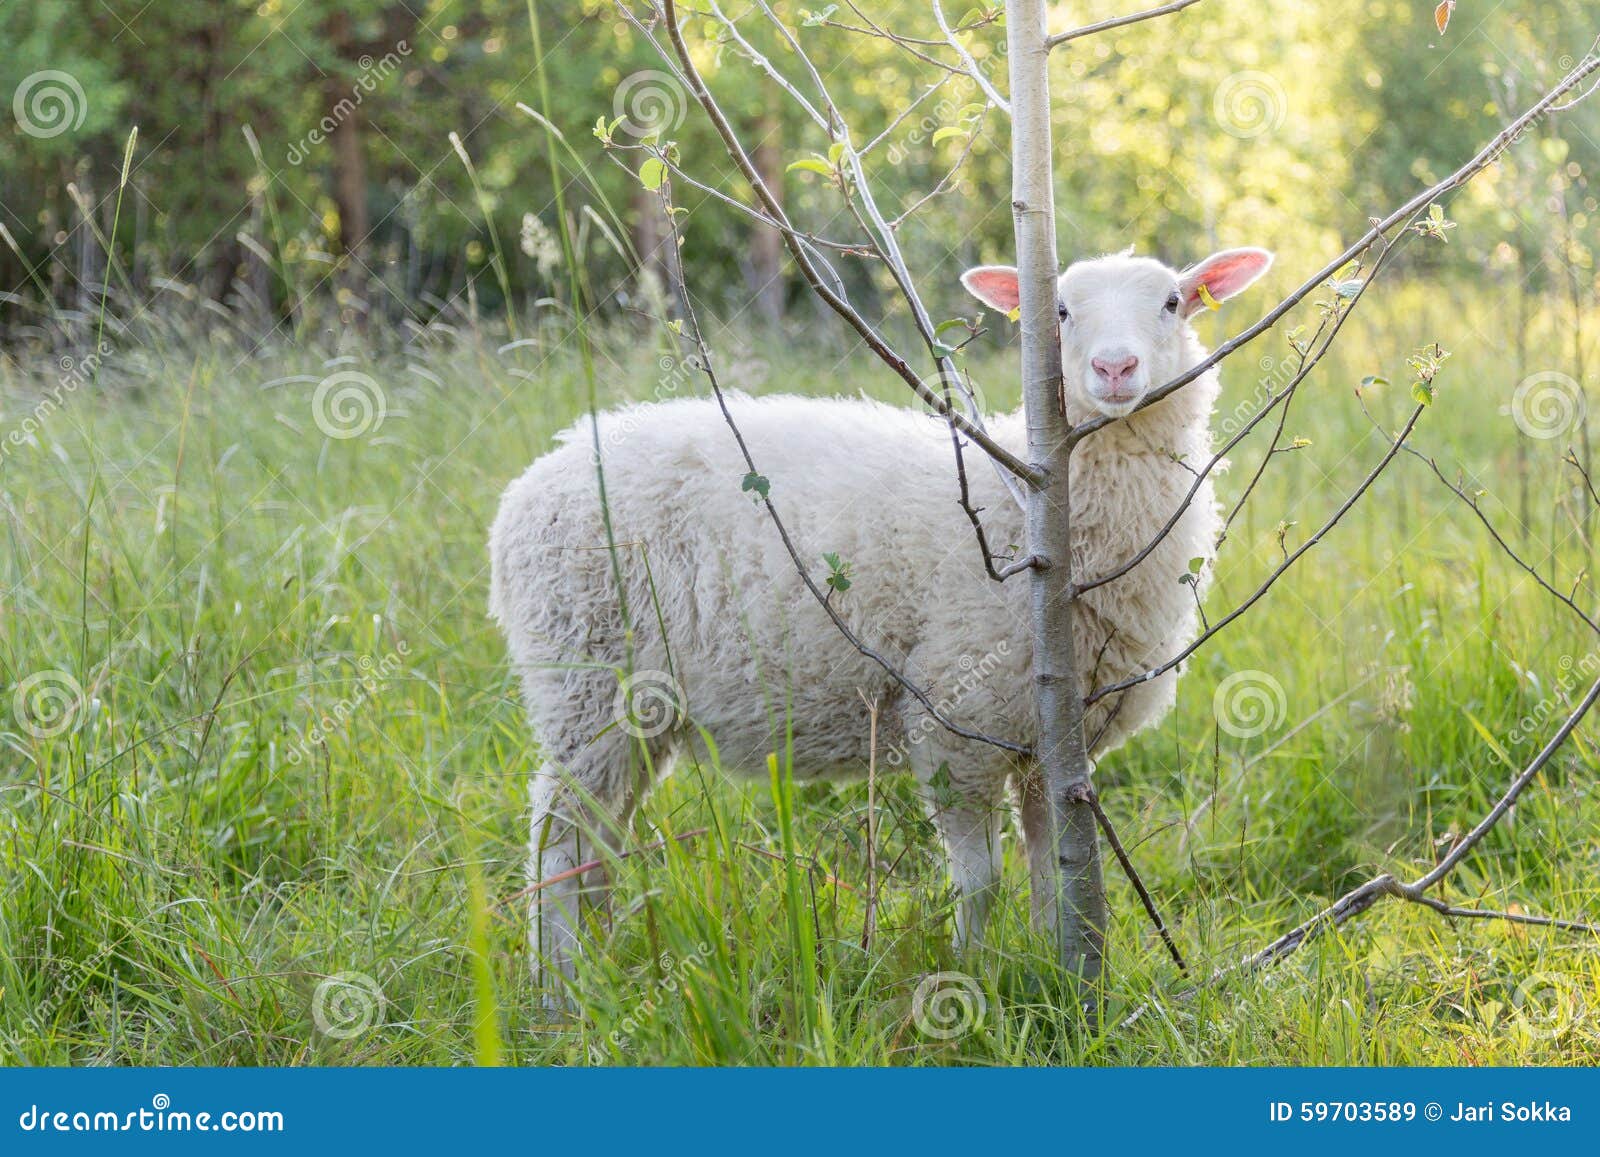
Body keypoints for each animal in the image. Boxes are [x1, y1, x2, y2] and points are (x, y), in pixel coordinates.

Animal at [488, 246, 1273, 988]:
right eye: (1059, 310)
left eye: (1172, 302)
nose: (1115, 367)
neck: (1029, 503)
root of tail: (533, 481)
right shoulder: (958, 720)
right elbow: (980, 880)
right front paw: (970, 980)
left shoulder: (1048, 736)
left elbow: (1055, 872)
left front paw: (1058, 974)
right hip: (585, 680)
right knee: (558, 840)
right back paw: (560, 990)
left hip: (637, 708)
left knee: (597, 845)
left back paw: (595, 968)